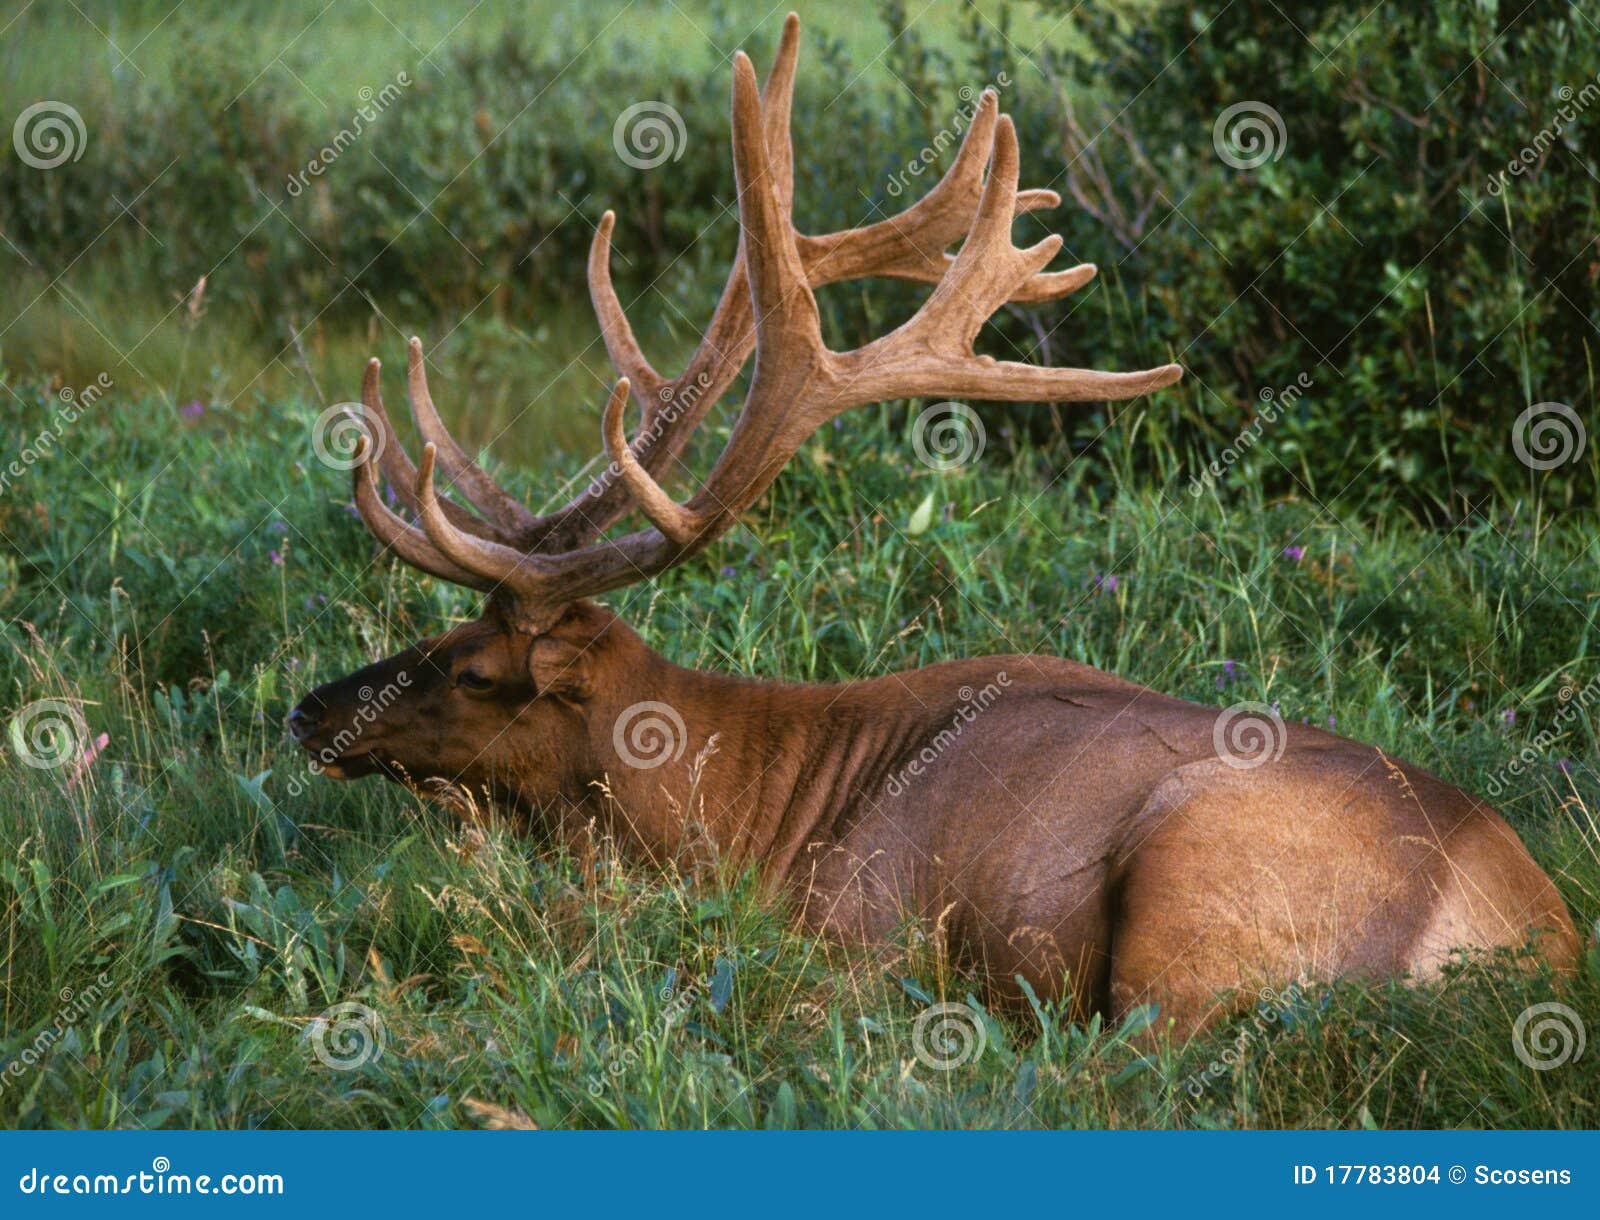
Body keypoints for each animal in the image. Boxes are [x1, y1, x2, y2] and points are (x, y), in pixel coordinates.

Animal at [289, 16, 1580, 1036]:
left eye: (471, 666)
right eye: (436, 633)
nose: (308, 707)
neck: (747, 819)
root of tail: (1522, 939)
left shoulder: (862, 935)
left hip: (1190, 905)